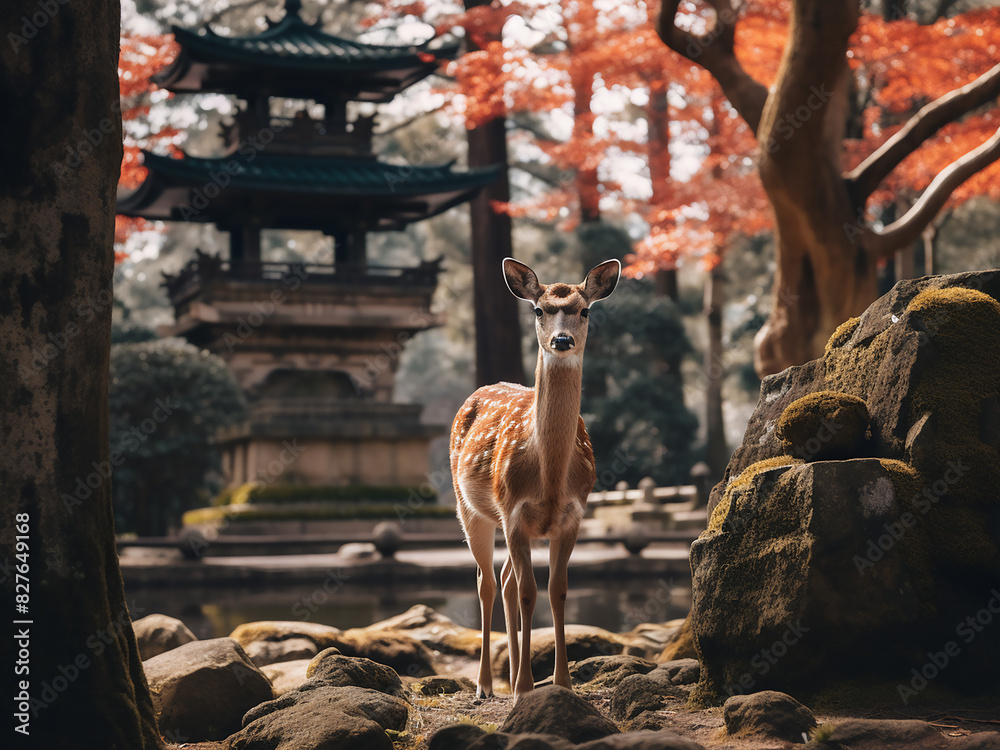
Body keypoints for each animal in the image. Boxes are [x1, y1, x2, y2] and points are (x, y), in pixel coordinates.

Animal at [450, 257, 620, 702]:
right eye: (539, 310)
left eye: (585, 310)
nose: (561, 341)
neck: (551, 478)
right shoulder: (512, 511)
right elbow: (529, 592)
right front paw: (527, 686)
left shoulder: (573, 516)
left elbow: (557, 591)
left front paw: (561, 683)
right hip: (468, 507)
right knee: (487, 581)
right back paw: (487, 685)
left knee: (506, 579)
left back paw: (508, 677)